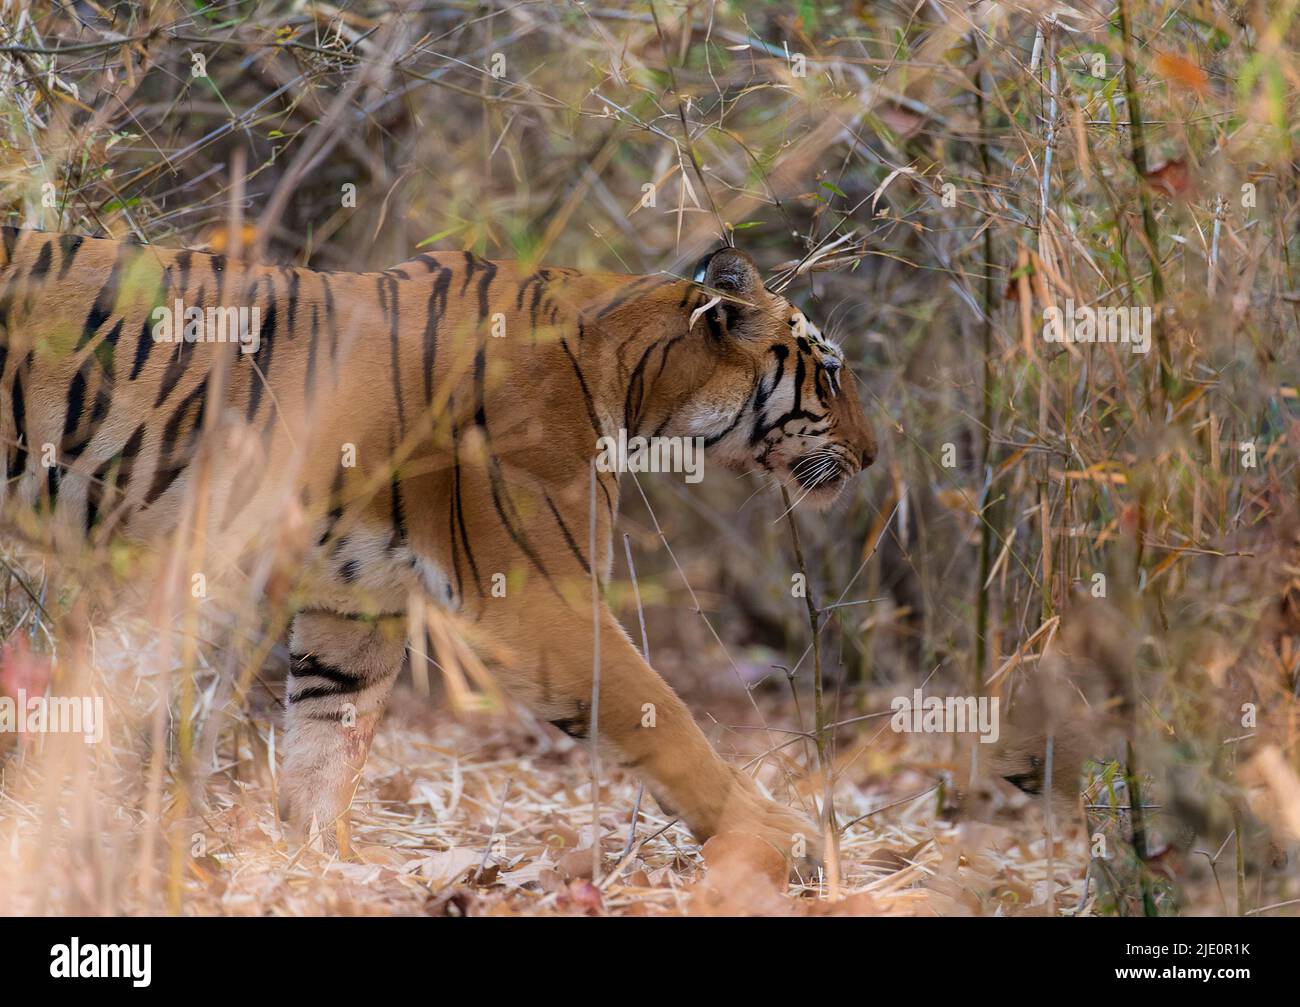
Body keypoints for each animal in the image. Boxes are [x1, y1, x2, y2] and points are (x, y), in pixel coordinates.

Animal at [0, 226, 877, 869]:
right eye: (832, 374)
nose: (873, 456)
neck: (635, 385)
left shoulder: (356, 600)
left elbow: (329, 736)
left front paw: (323, 863)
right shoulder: (538, 594)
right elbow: (662, 717)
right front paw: (781, 838)